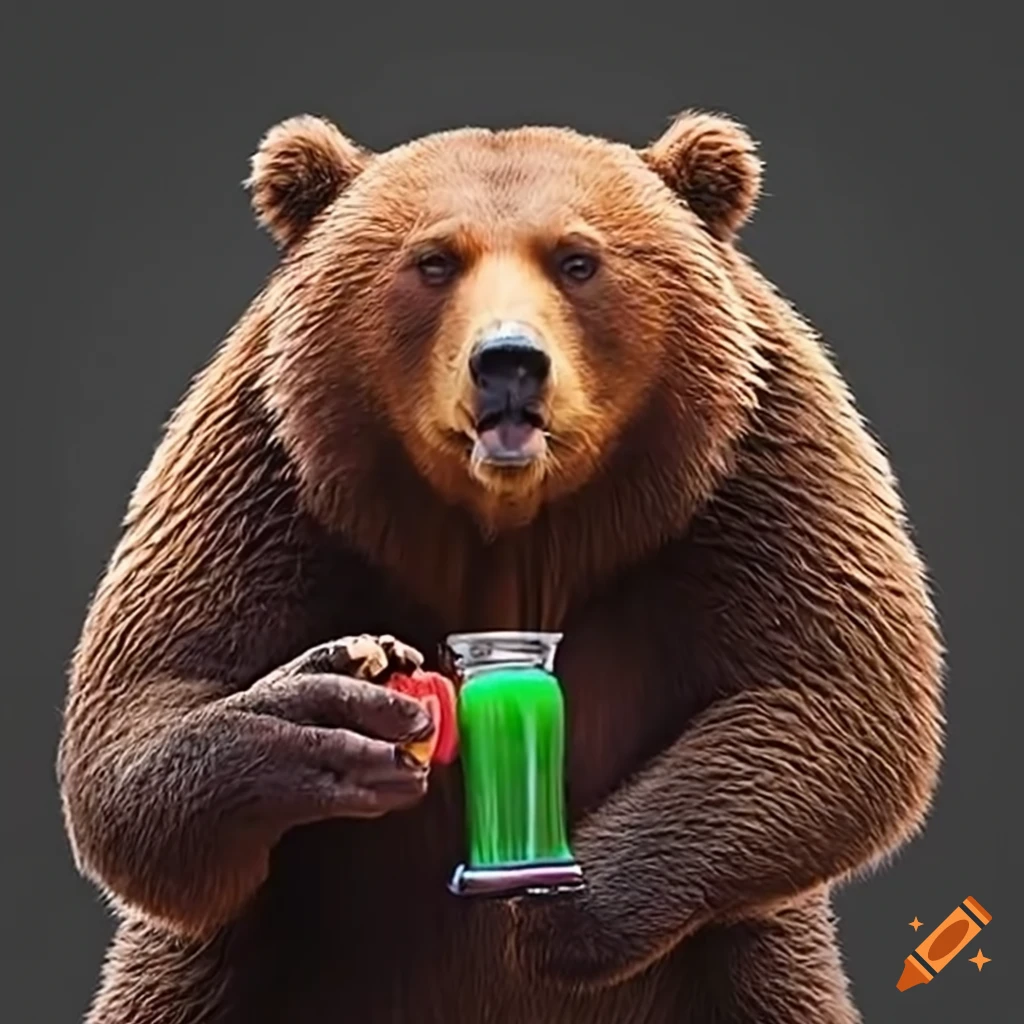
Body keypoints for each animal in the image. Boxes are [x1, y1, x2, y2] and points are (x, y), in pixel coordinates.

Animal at [57, 109, 944, 1024]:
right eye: (434, 260)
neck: (514, 531)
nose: (509, 362)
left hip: (748, 975)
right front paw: (337, 706)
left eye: (578, 259)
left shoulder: (751, 461)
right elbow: (143, 711)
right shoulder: (266, 472)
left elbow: (832, 695)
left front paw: (559, 911)